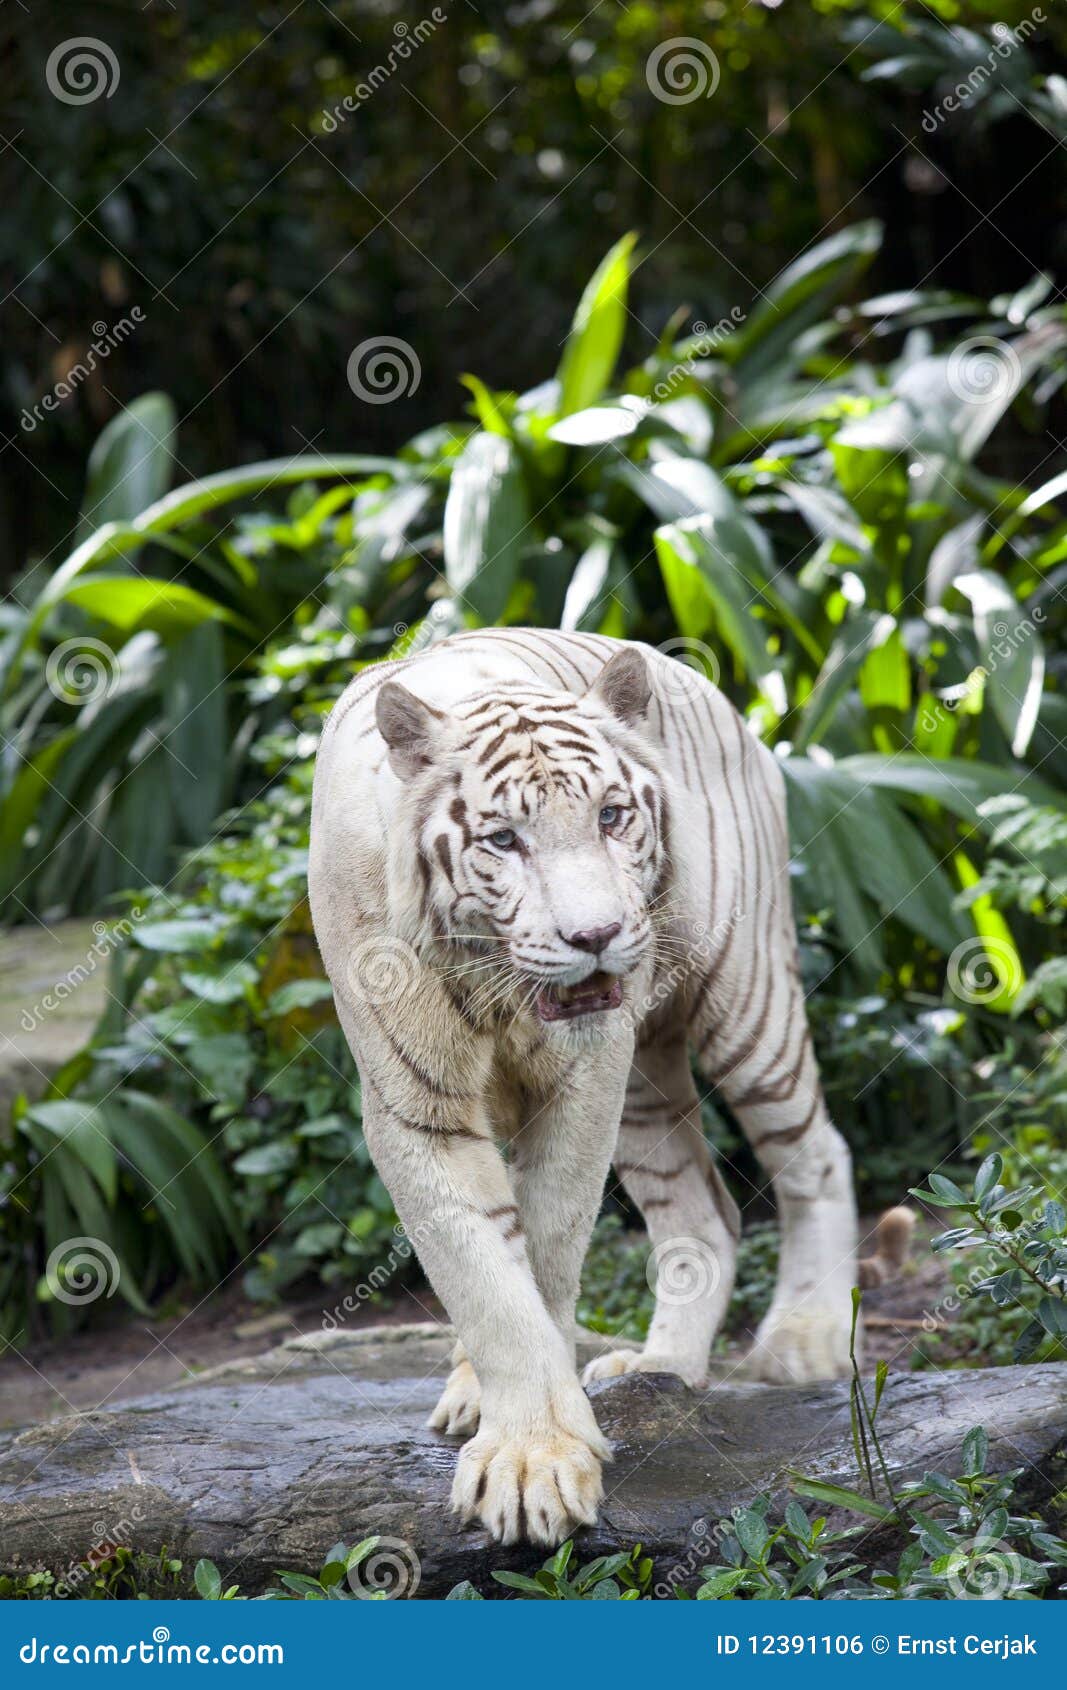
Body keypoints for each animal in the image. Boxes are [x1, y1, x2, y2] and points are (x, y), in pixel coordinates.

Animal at [308, 628, 864, 1548]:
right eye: (502, 839)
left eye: (610, 815)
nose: (597, 935)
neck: (496, 983)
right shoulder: (416, 1107)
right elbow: (487, 1284)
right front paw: (521, 1448)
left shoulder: (582, 1080)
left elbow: (544, 1256)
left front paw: (532, 1456)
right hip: (644, 1083)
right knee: (703, 1212)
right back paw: (663, 1366)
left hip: (742, 998)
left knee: (814, 1152)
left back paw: (802, 1340)